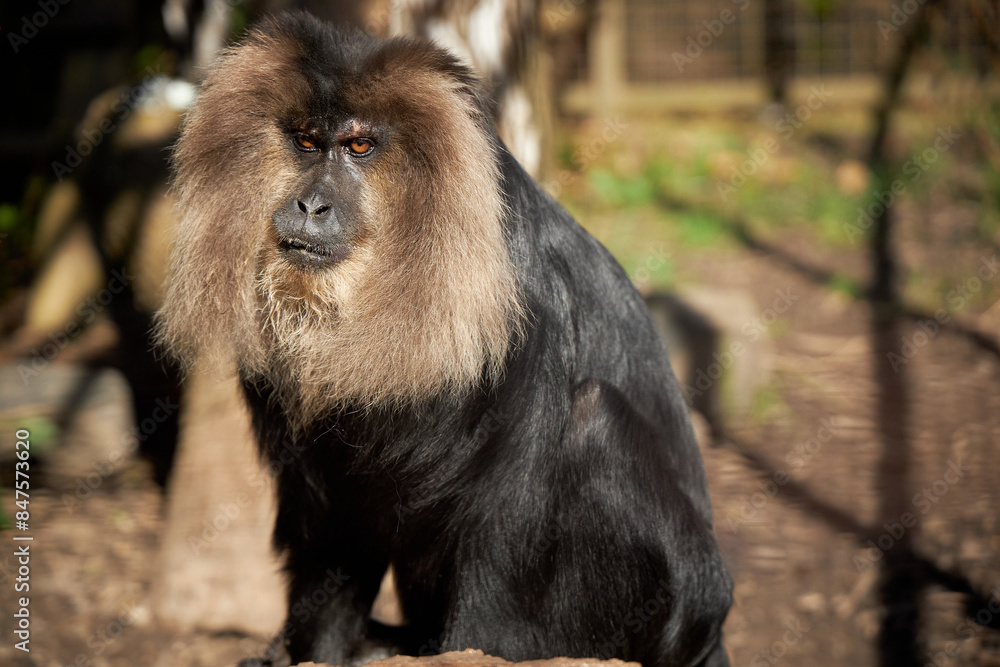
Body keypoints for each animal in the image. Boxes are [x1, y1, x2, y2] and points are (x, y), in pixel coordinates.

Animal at [156, 11, 733, 667]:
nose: (309, 204)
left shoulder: (530, 324)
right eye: (306, 141)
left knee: (594, 416)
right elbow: (334, 531)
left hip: (676, 606)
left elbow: (500, 548)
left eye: (359, 146)